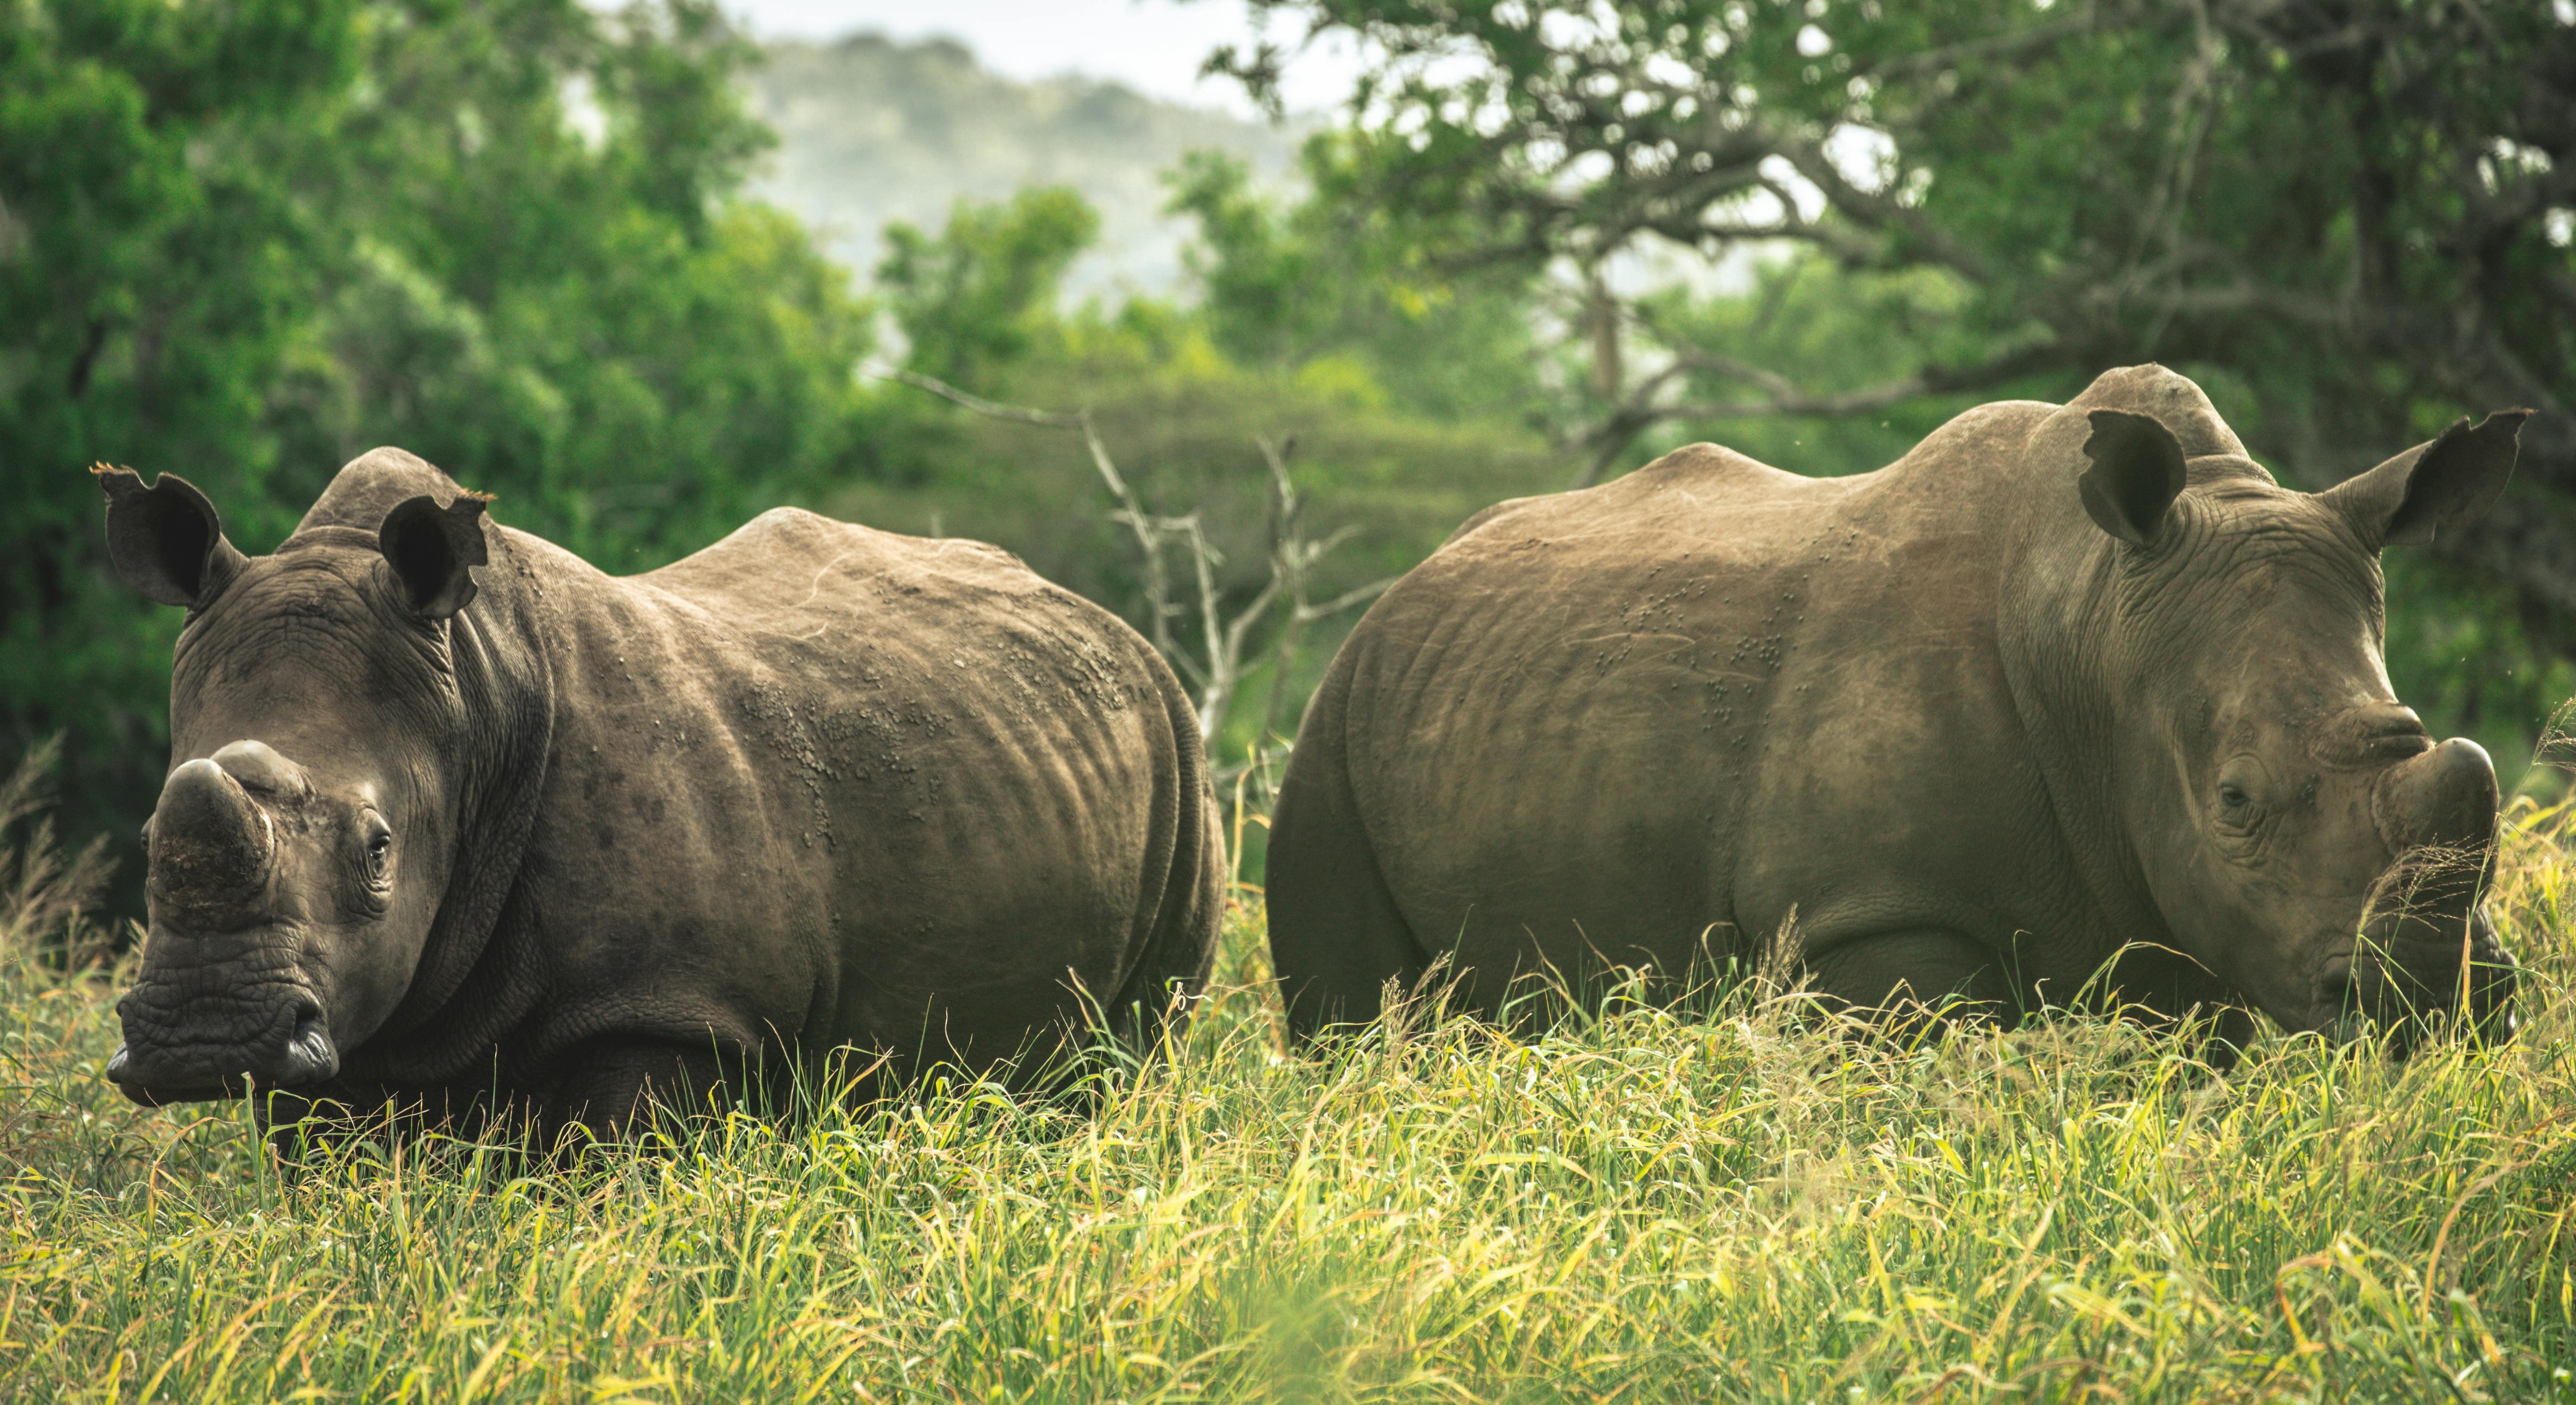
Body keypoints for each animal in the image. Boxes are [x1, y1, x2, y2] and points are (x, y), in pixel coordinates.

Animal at [99, 448, 1223, 1135]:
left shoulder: (672, 1002)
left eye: (379, 850)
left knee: (1137, 1044)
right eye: (148, 838)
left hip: (1179, 761)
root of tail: (1113, 627)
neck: (477, 692)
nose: (206, 1040)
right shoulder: (337, 1025)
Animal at [1267, 366, 2523, 1048]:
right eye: (2235, 800)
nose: (2429, 1009)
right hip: (1329, 728)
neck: (2095, 624)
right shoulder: (1869, 908)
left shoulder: (2179, 923)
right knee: (1348, 1015)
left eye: (2415, 744)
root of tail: (1407, 582)